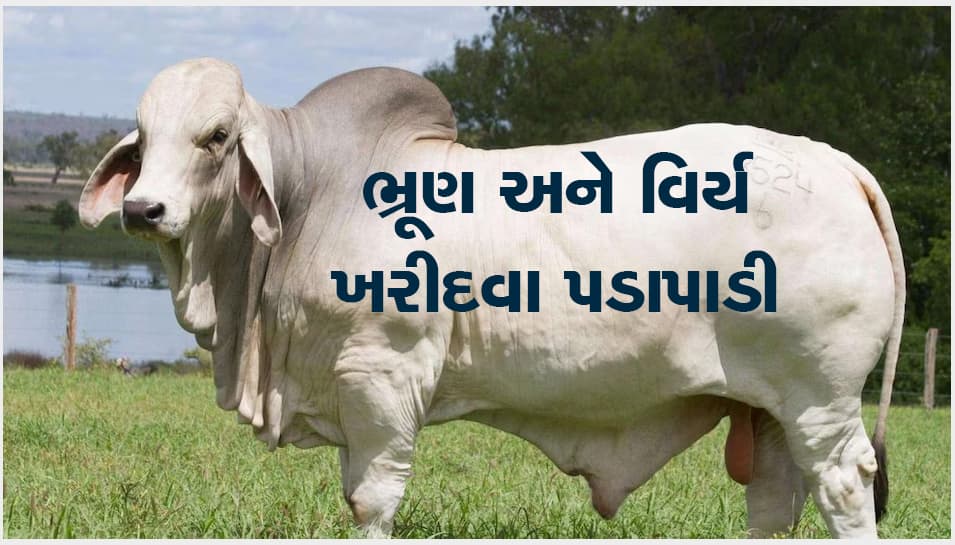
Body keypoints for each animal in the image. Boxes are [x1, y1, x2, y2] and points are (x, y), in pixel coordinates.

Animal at [78, 58, 903, 538]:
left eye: (216, 136)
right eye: (143, 139)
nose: (143, 208)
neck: (314, 196)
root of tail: (835, 162)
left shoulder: (383, 375)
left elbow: (371, 497)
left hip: (819, 397)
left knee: (842, 484)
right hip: (769, 409)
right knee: (773, 497)